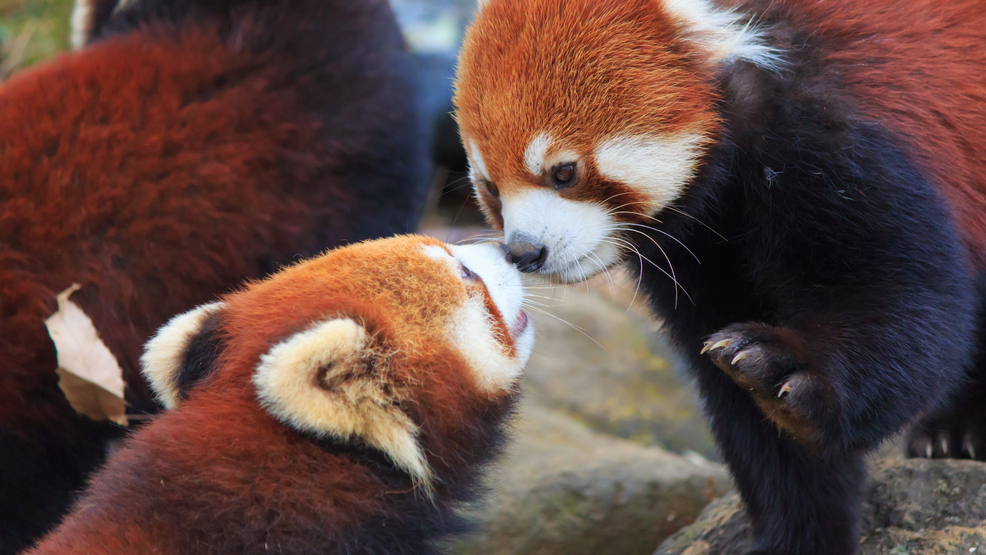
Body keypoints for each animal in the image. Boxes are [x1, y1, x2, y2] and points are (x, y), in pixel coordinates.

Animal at [452, 0, 986, 553]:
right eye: (491, 188)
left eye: (564, 172)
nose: (525, 252)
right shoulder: (700, 252)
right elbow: (747, 414)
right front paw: (798, 531)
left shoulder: (840, 138)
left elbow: (906, 309)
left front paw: (788, 367)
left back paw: (958, 430)